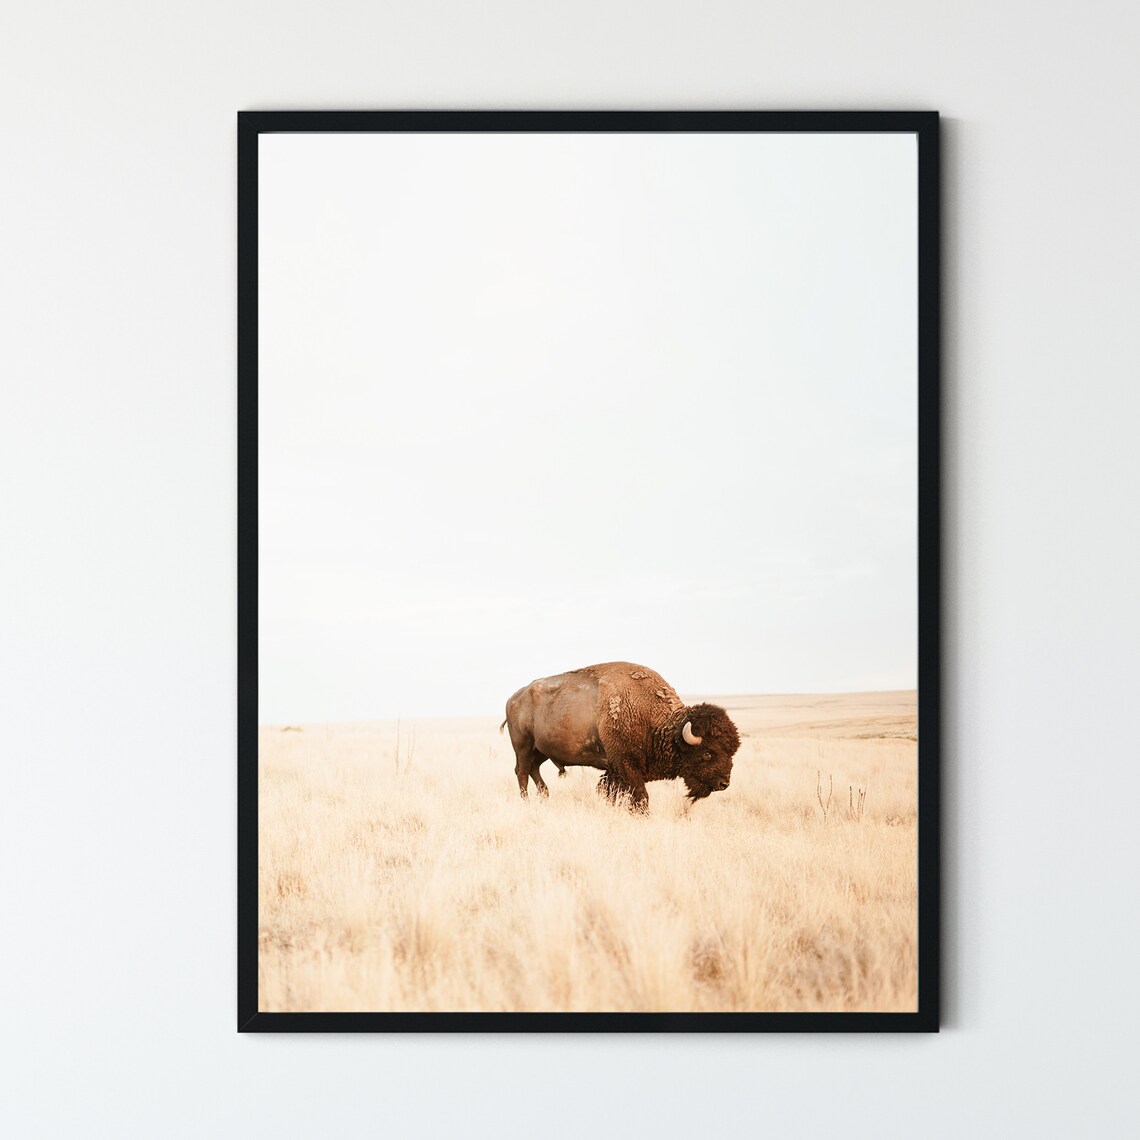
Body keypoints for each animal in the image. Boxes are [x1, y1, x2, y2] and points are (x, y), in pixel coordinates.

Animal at [501, 662, 740, 810]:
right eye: (708, 753)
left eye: (732, 752)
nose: (724, 783)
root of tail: (513, 698)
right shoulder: (626, 765)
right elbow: (640, 796)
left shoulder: (615, 771)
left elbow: (611, 793)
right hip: (523, 746)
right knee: (522, 772)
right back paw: (527, 802)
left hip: (541, 750)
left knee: (533, 770)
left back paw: (544, 796)